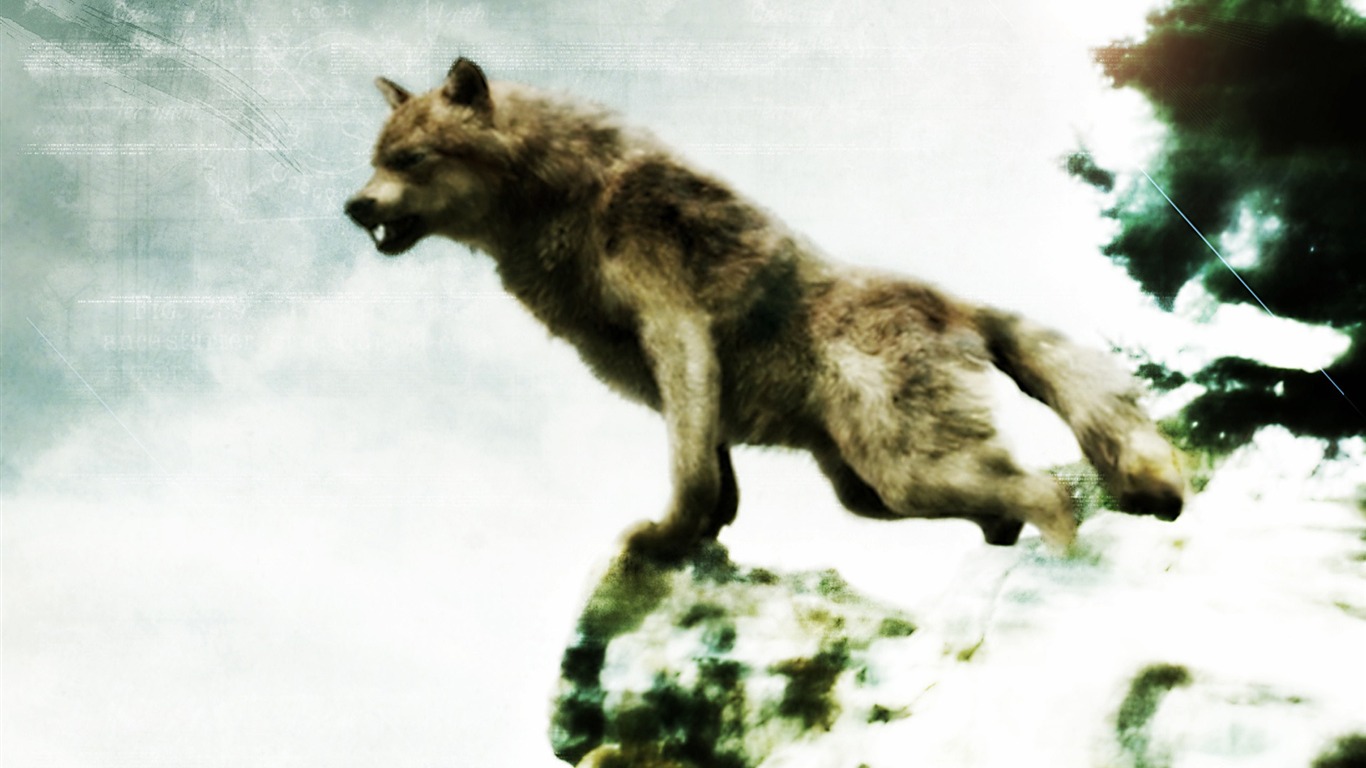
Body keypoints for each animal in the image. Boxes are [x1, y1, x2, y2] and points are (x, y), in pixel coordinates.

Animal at [345, 58, 1185, 558]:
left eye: (409, 160)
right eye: (375, 161)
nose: (353, 207)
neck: (571, 198)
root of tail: (953, 301)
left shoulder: (676, 330)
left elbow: (688, 470)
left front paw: (667, 536)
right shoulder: (677, 371)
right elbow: (713, 475)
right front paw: (698, 542)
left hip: (906, 470)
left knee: (1049, 492)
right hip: (867, 490)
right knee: (1016, 502)